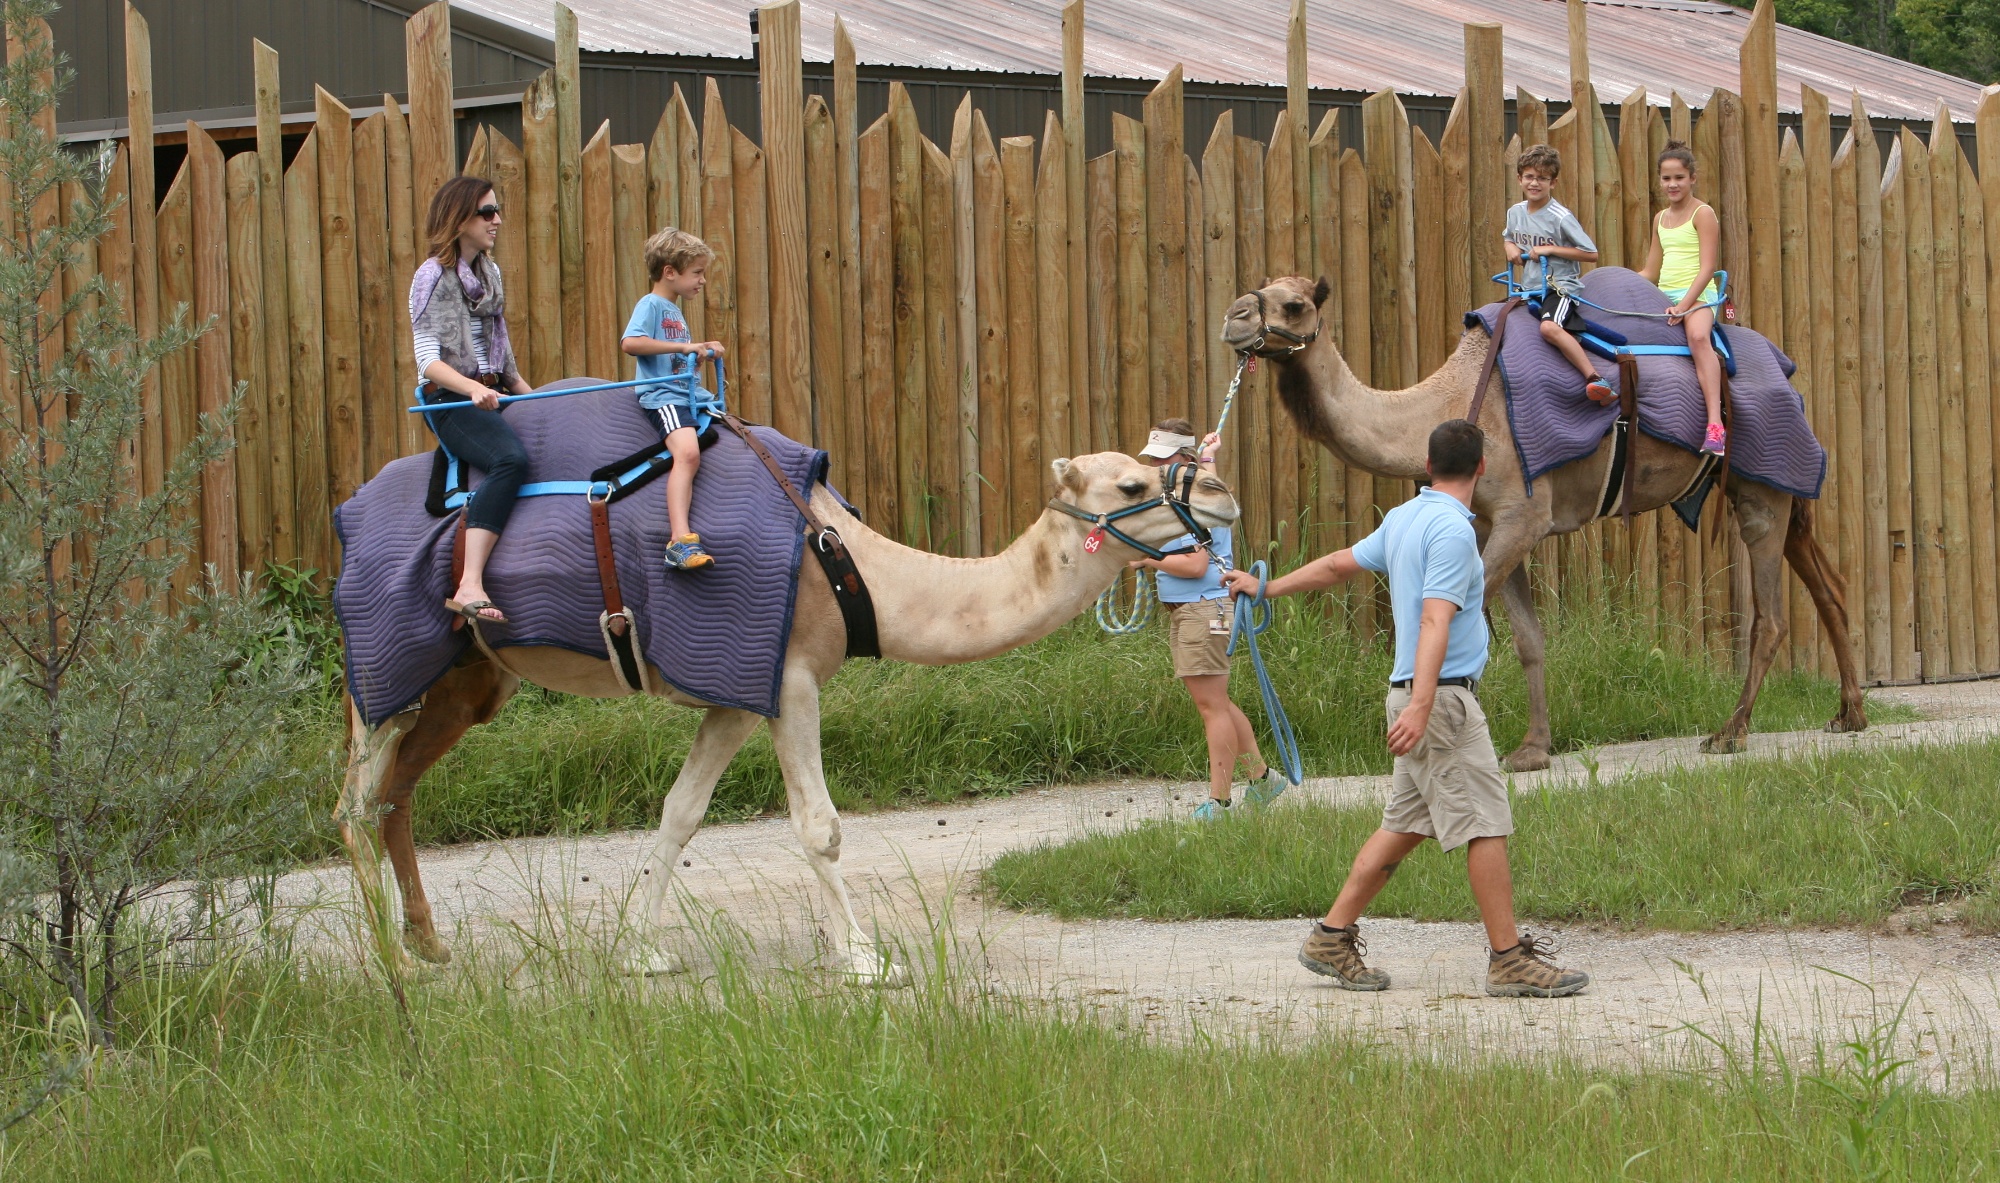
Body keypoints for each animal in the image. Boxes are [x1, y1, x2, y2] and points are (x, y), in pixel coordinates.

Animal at [340, 451, 1240, 983]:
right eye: (1132, 484)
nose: (1223, 489)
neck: (856, 569)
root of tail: (347, 516)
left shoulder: (737, 696)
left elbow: (679, 811)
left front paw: (641, 951)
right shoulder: (791, 677)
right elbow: (819, 826)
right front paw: (867, 956)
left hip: (467, 678)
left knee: (394, 796)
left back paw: (429, 943)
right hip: (383, 669)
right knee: (353, 805)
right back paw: (391, 965)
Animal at [1222, 276, 1866, 771]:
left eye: (1294, 304)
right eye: (1257, 286)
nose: (1234, 317)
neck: (1445, 404)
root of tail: (1787, 375)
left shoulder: (1523, 515)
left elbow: (1464, 624)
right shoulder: (1491, 525)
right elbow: (1529, 641)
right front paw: (1533, 749)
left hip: (1761, 486)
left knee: (1772, 616)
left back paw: (1730, 733)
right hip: (1772, 485)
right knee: (1829, 586)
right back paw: (1850, 714)